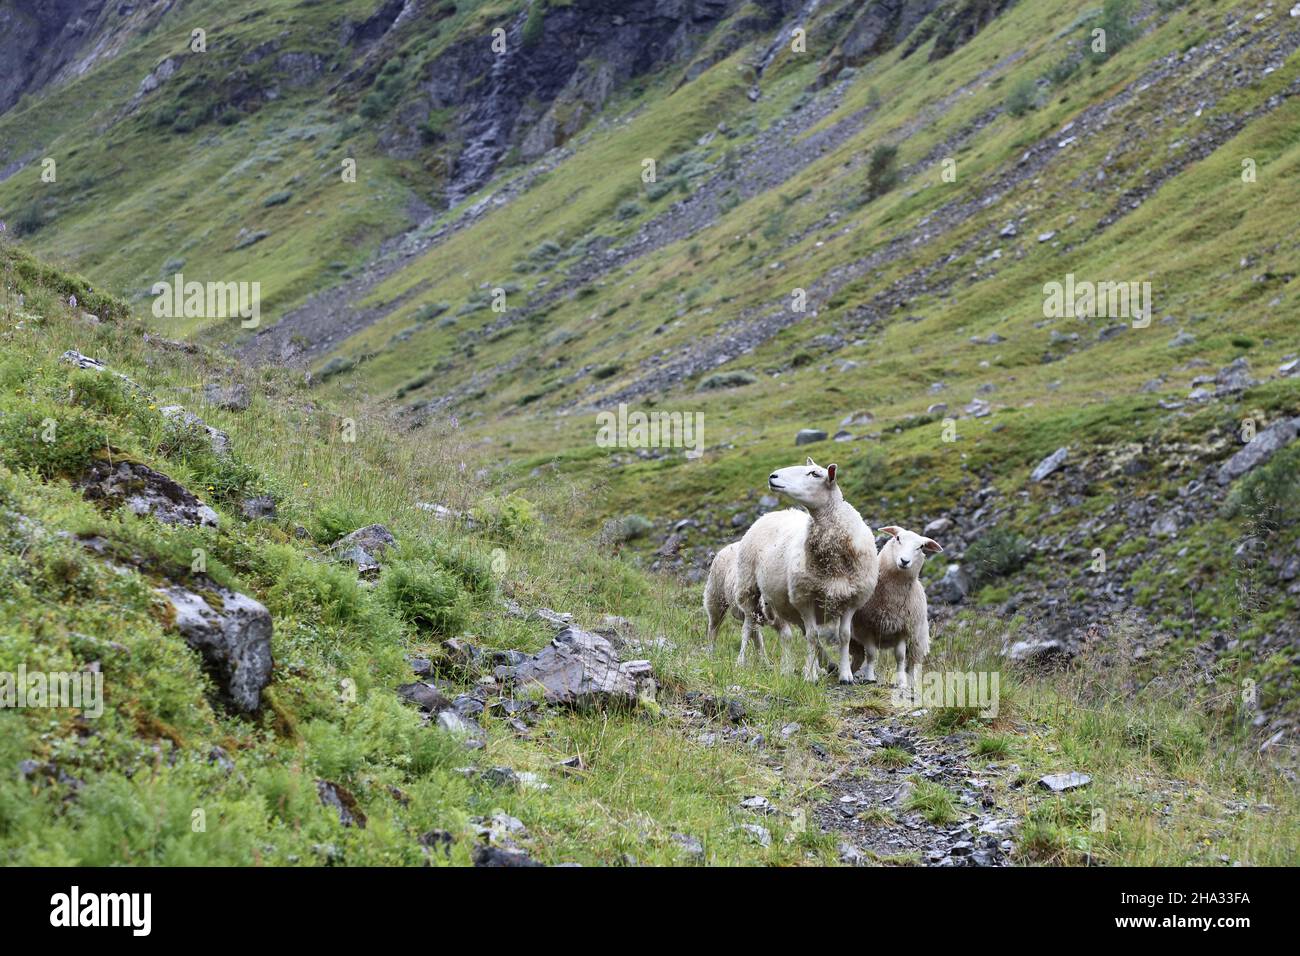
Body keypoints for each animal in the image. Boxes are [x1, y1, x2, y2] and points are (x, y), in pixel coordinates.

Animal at [735, 458, 878, 683]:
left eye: (814, 474)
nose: (772, 476)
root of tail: (772, 513)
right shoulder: (804, 598)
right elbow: (812, 636)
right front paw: (810, 677)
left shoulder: (851, 600)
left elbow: (843, 636)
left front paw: (845, 675)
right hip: (749, 586)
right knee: (750, 626)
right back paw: (744, 662)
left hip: (779, 599)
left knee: (787, 633)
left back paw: (806, 667)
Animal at [850, 525, 943, 696]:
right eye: (898, 538)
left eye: (921, 547)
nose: (905, 561)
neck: (891, 600)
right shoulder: (866, 628)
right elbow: (871, 654)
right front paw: (869, 678)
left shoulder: (903, 630)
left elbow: (900, 657)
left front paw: (901, 682)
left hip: (917, 640)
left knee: (912, 664)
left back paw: (912, 685)